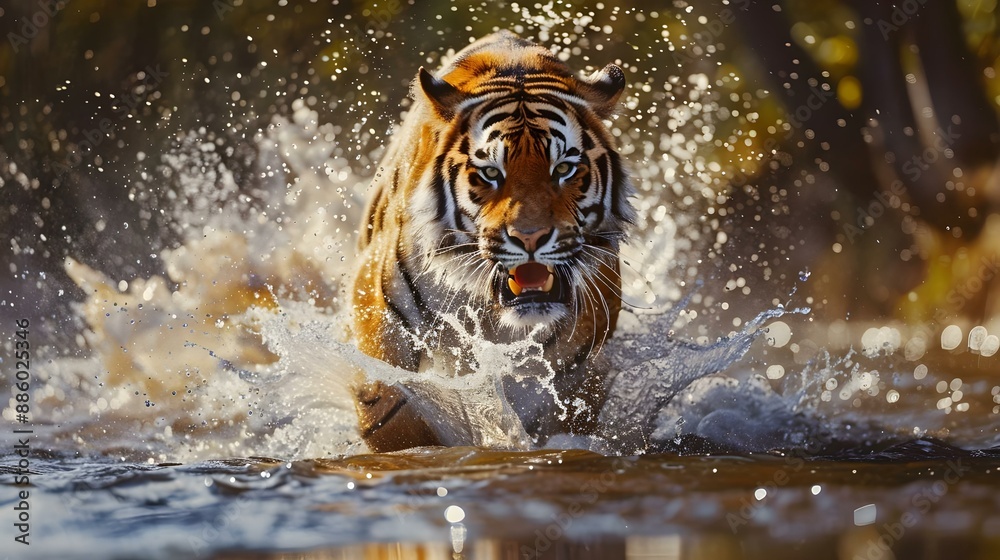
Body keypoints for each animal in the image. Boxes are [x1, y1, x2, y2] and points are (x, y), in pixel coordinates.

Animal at [352, 31, 635, 452]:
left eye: (564, 168)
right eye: (490, 173)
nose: (530, 237)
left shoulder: (577, 368)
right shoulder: (379, 317)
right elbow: (395, 416)